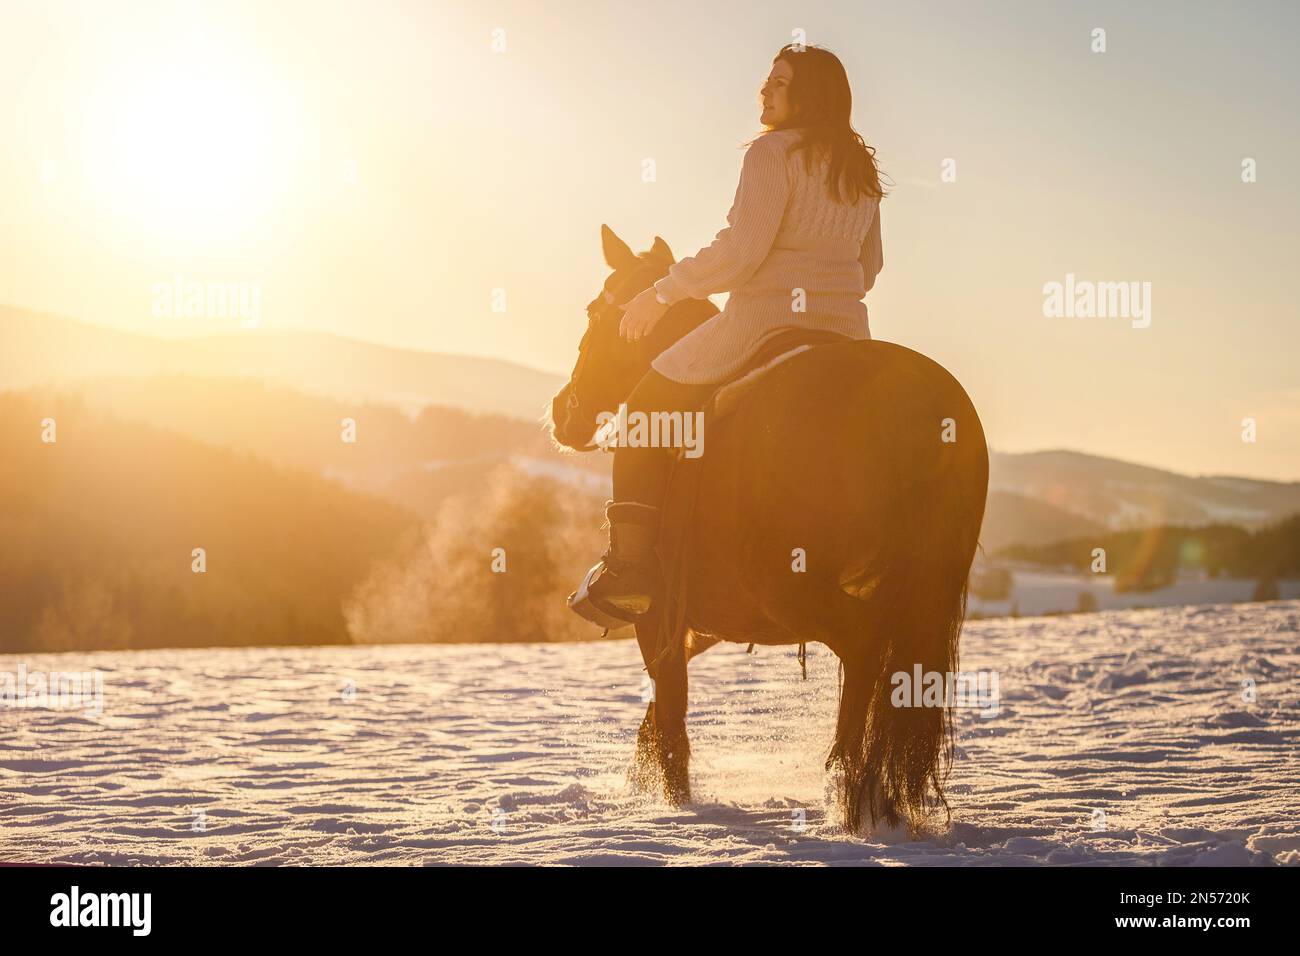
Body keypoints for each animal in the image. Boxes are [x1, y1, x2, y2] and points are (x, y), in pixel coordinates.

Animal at [549, 225, 989, 834]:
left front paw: (673, 803)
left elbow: (670, 710)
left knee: (863, 648)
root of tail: (919, 402)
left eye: (595, 312)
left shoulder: (660, 616)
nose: (561, 411)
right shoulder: (699, 620)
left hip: (797, 592)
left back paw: (848, 789)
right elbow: (660, 710)